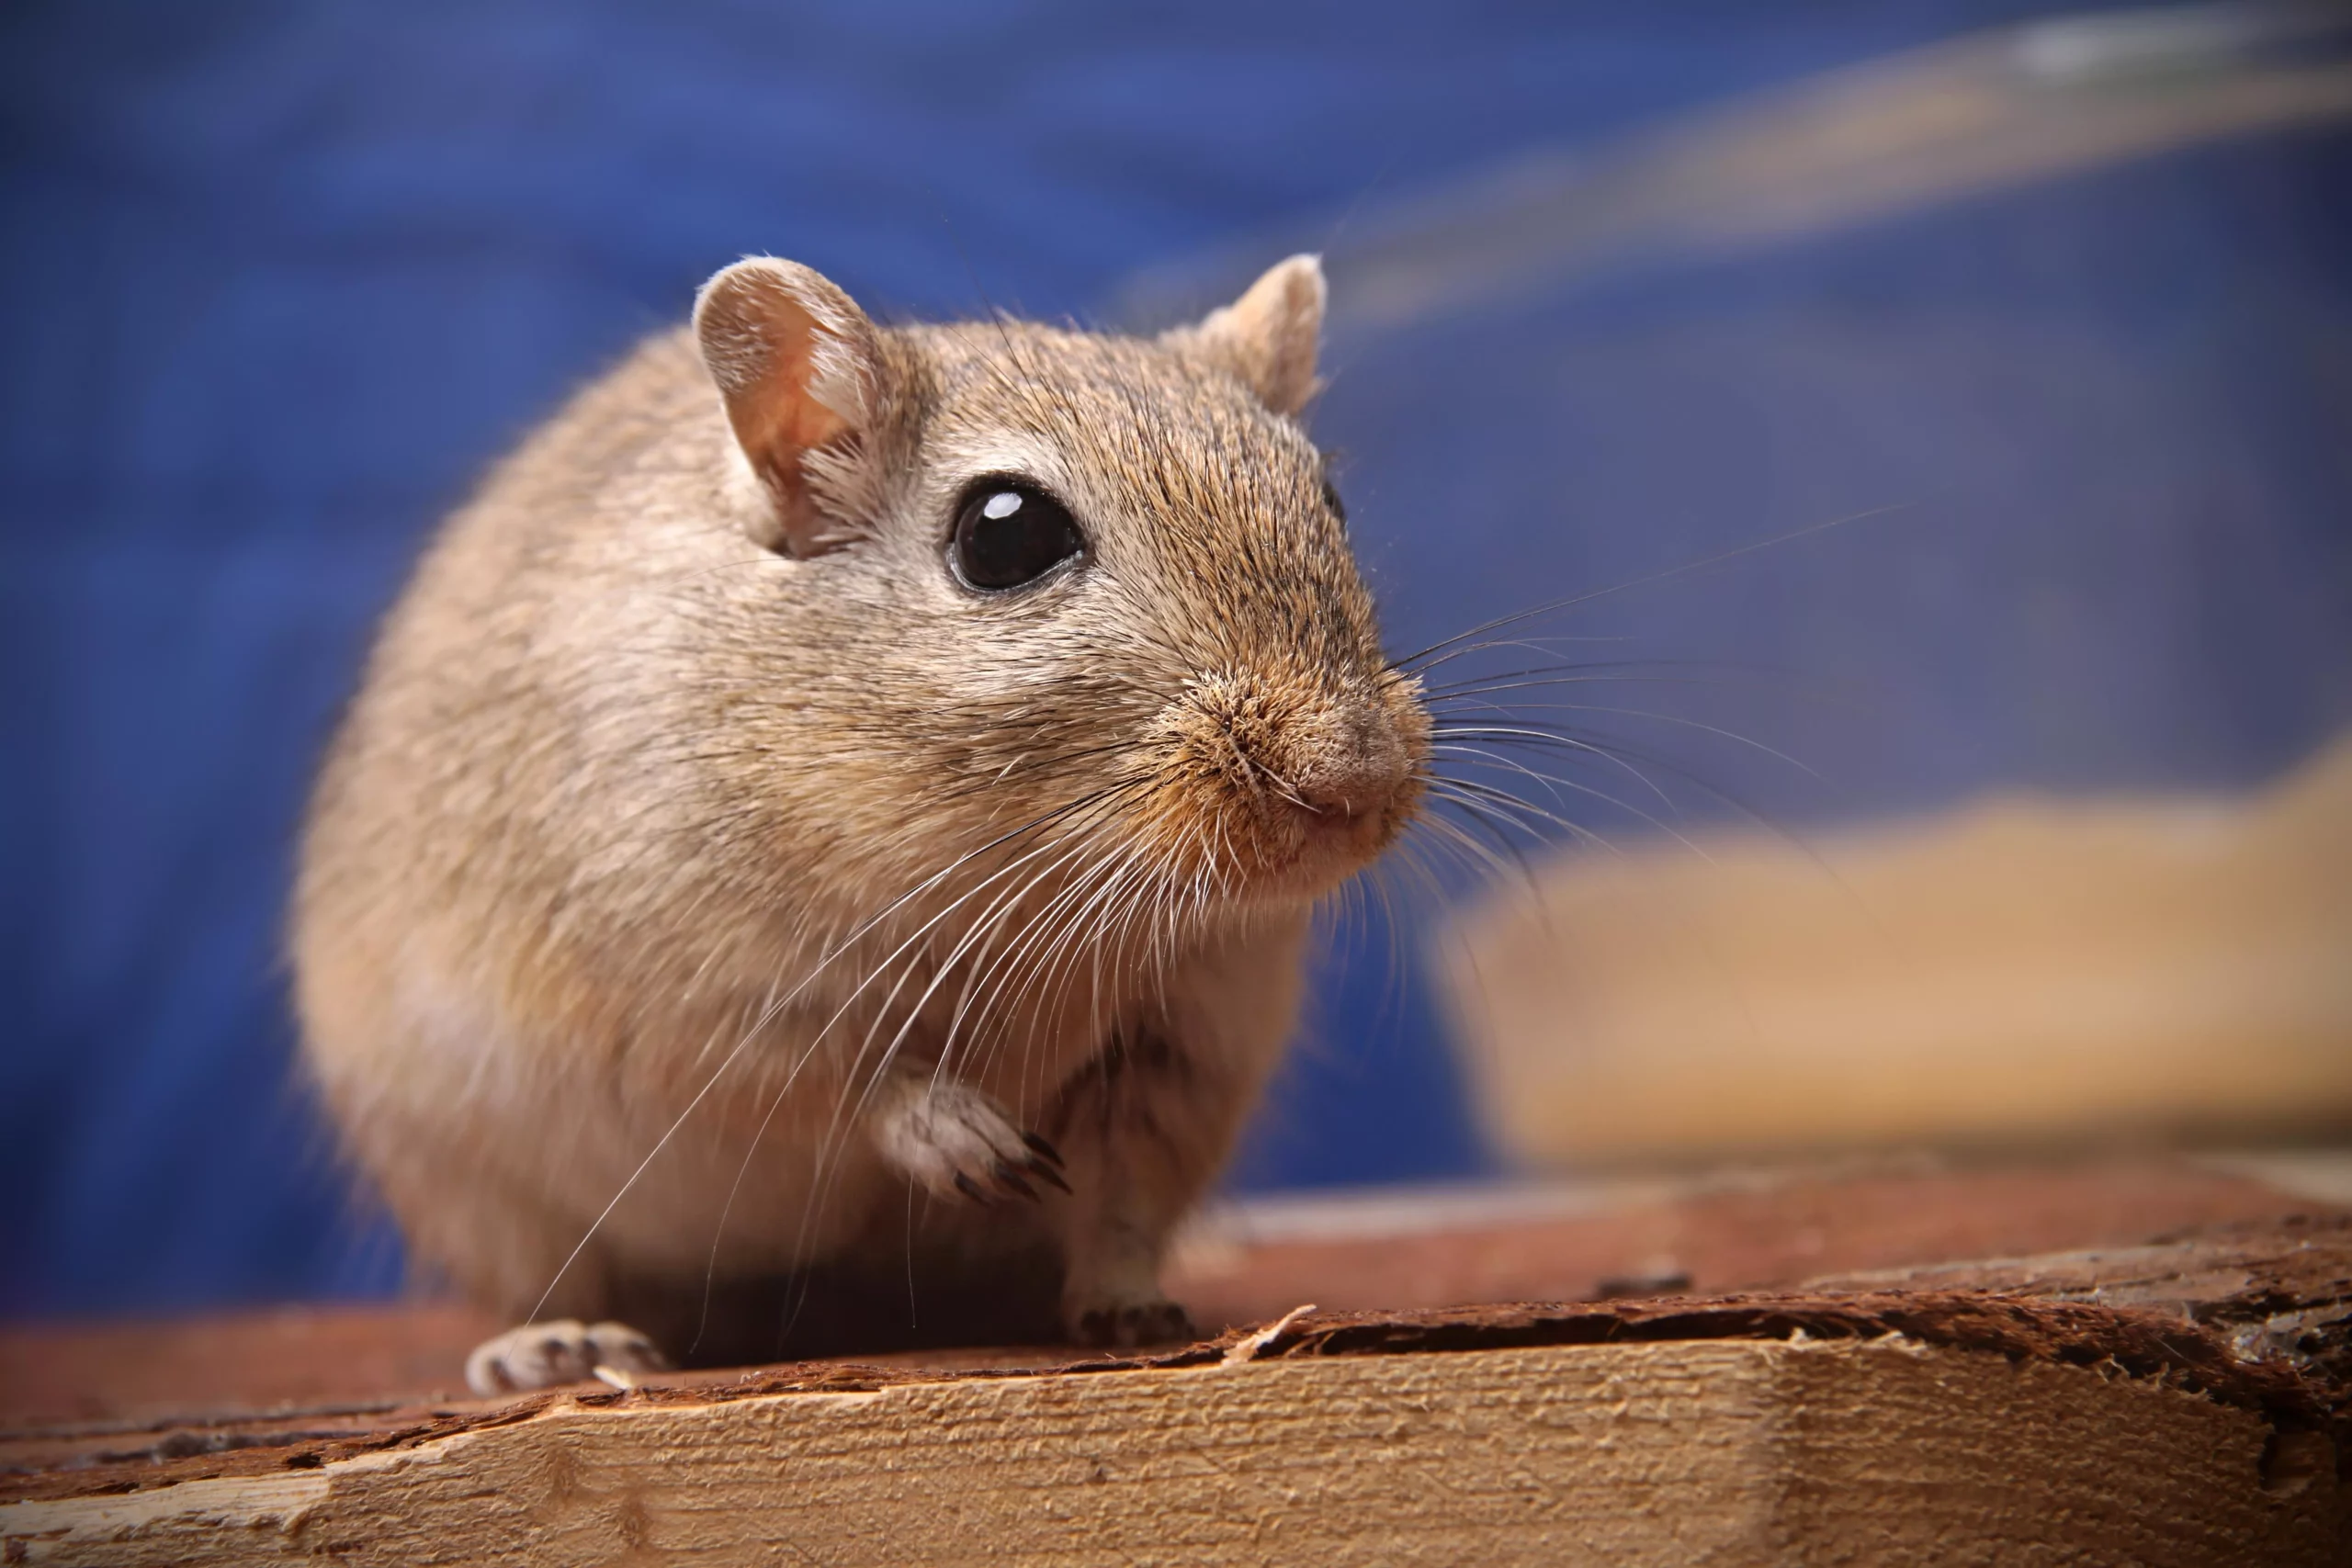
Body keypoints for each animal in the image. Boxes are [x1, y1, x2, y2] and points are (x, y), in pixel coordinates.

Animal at [292, 253, 1430, 1393]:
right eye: (1004, 534)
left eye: (1328, 497)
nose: (1353, 785)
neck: (1009, 872)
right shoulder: (712, 1015)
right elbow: (859, 1084)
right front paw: (978, 1146)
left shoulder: (1182, 1044)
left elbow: (1120, 1203)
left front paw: (1131, 1309)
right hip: (455, 1167)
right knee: (543, 1277)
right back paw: (560, 1347)